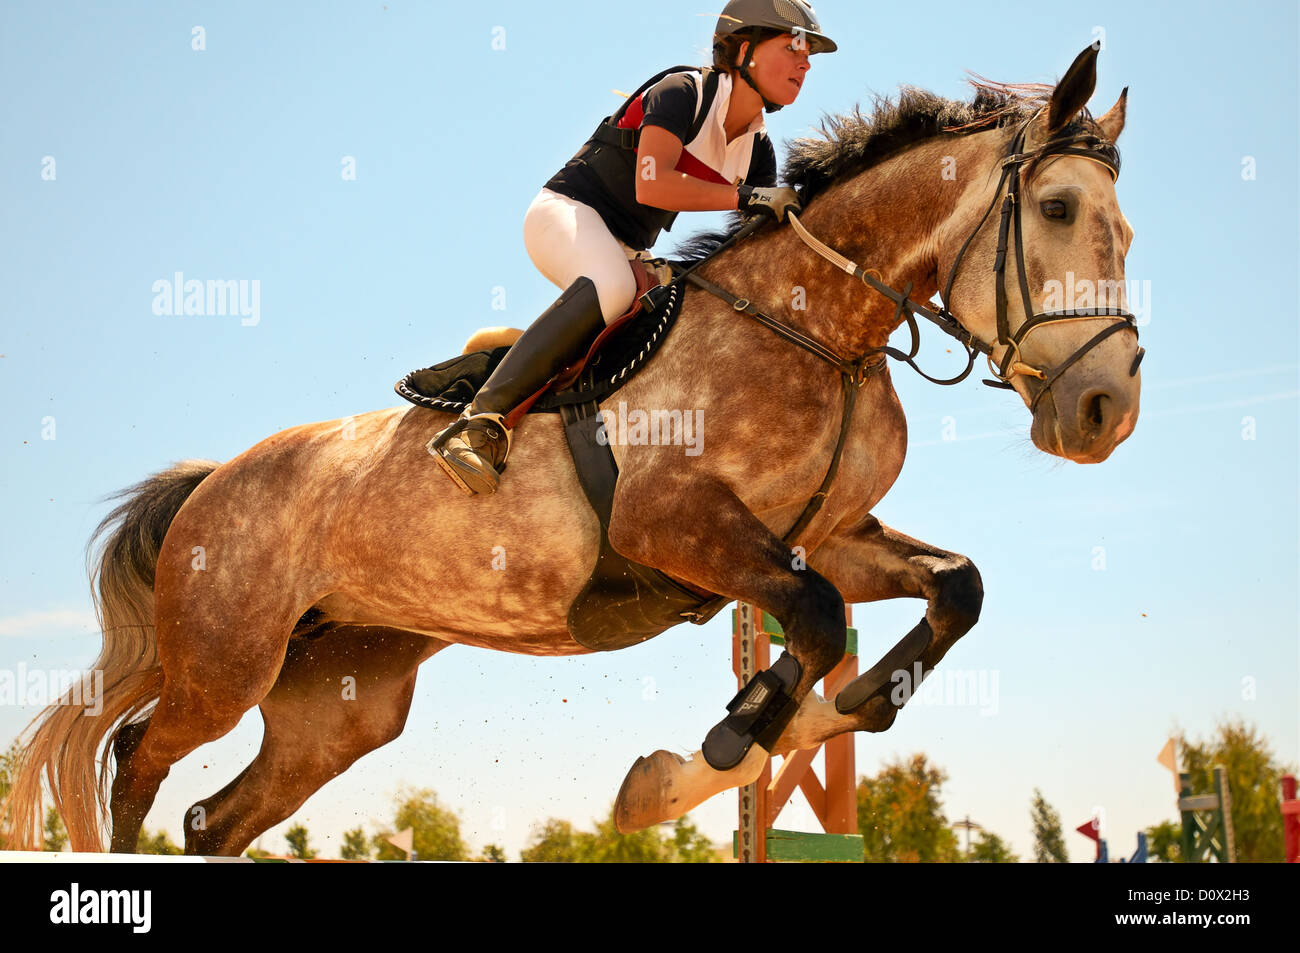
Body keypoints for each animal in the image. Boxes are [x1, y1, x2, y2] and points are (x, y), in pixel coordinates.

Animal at [5, 45, 1139, 854]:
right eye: (1055, 208)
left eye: (1124, 231)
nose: (1104, 411)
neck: (819, 323)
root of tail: (211, 481)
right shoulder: (675, 525)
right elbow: (814, 623)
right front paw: (703, 759)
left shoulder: (825, 533)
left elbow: (948, 591)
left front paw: (831, 711)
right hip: (224, 663)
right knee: (134, 762)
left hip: (339, 703)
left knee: (215, 817)